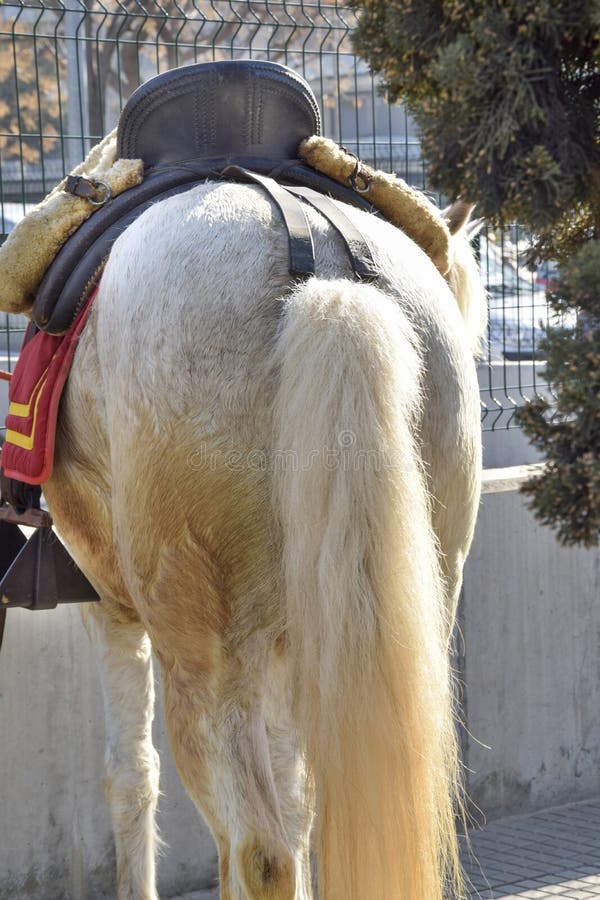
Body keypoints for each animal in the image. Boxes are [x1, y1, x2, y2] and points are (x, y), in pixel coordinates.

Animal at [29, 179, 486, 900]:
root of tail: (326, 274)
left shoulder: (109, 609)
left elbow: (130, 778)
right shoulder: (284, 646)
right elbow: (297, 797)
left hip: (201, 648)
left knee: (256, 848)